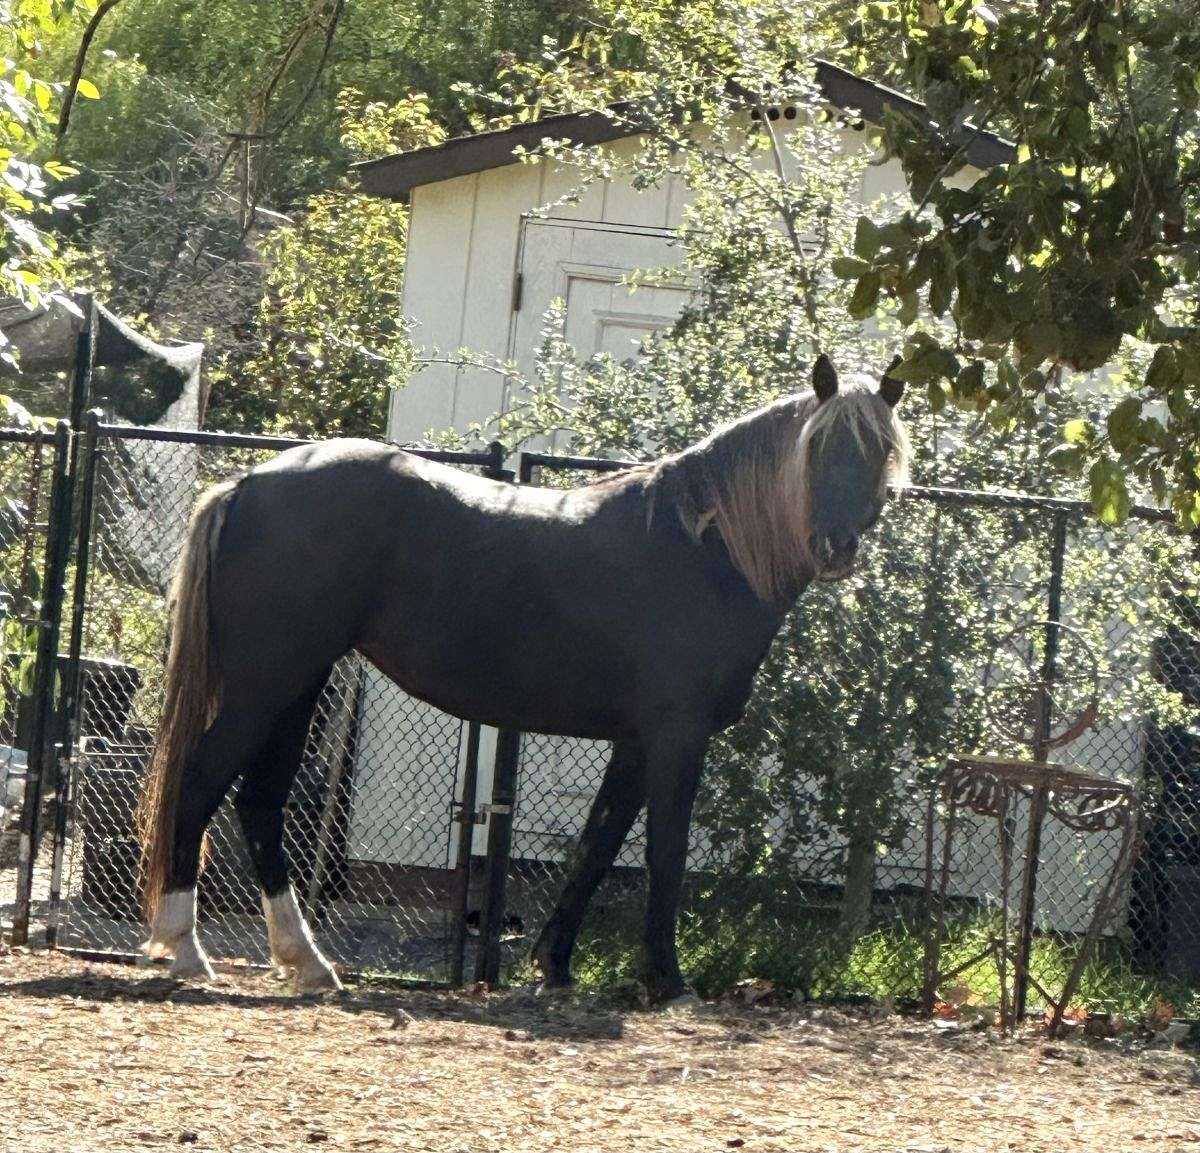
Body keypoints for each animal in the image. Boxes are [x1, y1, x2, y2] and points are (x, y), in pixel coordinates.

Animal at [136, 354, 909, 1003]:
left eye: (876, 453)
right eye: (819, 447)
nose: (837, 547)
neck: (703, 547)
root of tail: (248, 485)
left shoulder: (638, 741)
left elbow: (598, 843)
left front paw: (556, 964)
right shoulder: (676, 735)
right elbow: (665, 851)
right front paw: (666, 980)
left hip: (297, 684)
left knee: (260, 804)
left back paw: (306, 961)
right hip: (266, 684)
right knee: (201, 783)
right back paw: (186, 948)